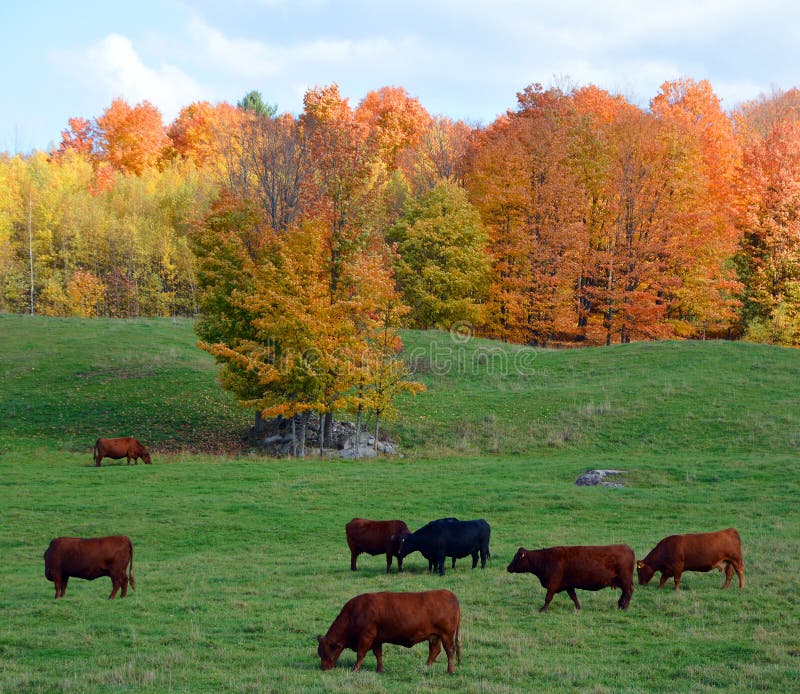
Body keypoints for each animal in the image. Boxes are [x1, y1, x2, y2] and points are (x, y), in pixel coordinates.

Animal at [317, 590, 461, 674]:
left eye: (326, 653)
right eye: (320, 653)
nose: (323, 668)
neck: (355, 614)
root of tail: (448, 594)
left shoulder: (366, 637)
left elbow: (360, 654)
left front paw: (355, 669)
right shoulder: (376, 639)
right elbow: (378, 654)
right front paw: (379, 669)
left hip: (446, 635)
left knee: (450, 651)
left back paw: (450, 671)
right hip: (434, 636)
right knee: (435, 651)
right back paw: (425, 667)